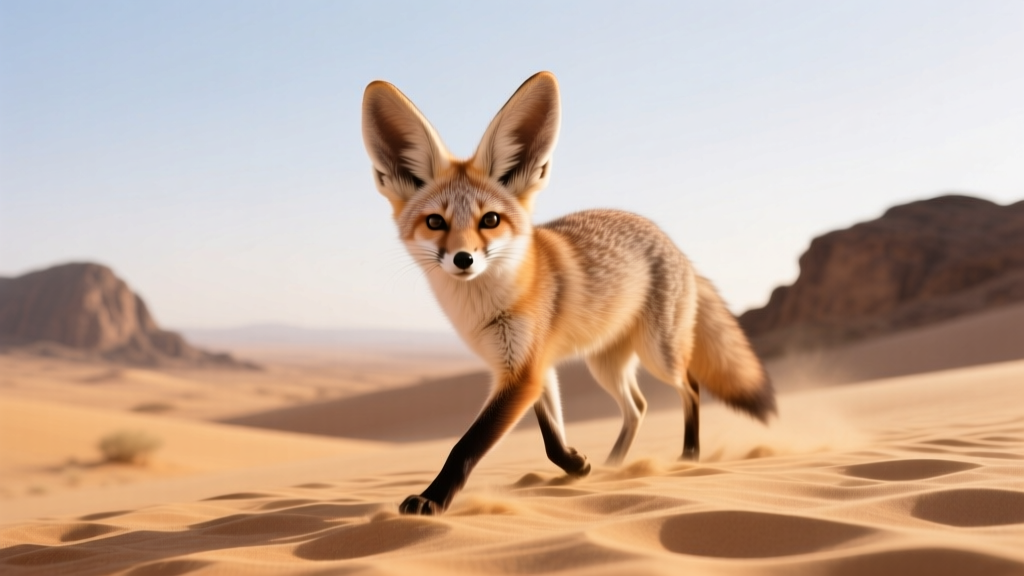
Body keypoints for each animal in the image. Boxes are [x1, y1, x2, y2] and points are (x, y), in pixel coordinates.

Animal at [360, 71, 775, 515]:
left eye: (490, 220)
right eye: (435, 222)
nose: (463, 259)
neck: (488, 308)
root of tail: (673, 244)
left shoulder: (523, 370)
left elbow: (467, 445)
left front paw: (432, 500)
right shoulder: (532, 367)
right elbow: (550, 437)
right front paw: (577, 466)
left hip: (658, 354)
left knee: (690, 387)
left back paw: (689, 455)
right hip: (606, 363)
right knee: (638, 406)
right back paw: (614, 464)